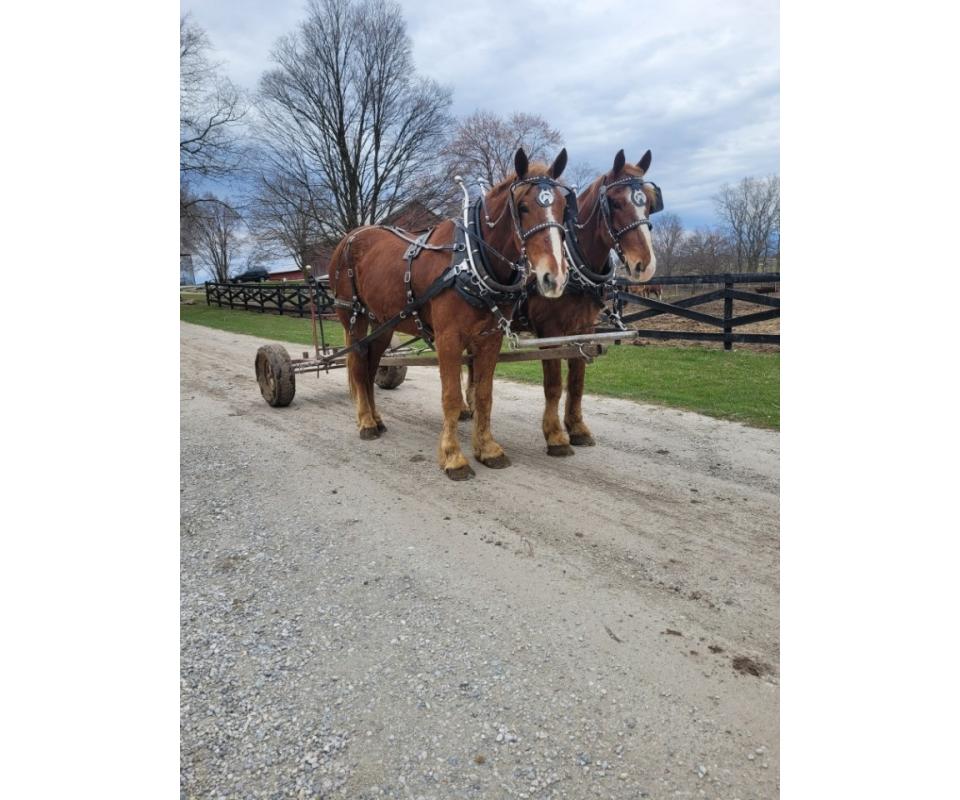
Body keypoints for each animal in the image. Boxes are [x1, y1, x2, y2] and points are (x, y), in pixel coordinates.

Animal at [328, 148, 571, 480]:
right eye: (522, 207)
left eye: (563, 207)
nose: (554, 277)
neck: (469, 259)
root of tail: (349, 238)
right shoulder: (448, 339)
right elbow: (452, 397)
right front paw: (454, 457)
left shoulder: (490, 339)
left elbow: (483, 395)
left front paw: (487, 449)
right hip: (353, 316)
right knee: (355, 365)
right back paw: (365, 422)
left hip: (383, 323)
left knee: (369, 367)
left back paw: (376, 419)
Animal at [465, 149, 658, 454]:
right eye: (615, 203)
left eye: (650, 203)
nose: (645, 265)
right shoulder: (549, 331)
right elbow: (554, 384)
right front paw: (555, 435)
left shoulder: (584, 329)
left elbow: (577, 381)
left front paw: (577, 428)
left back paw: (471, 405)